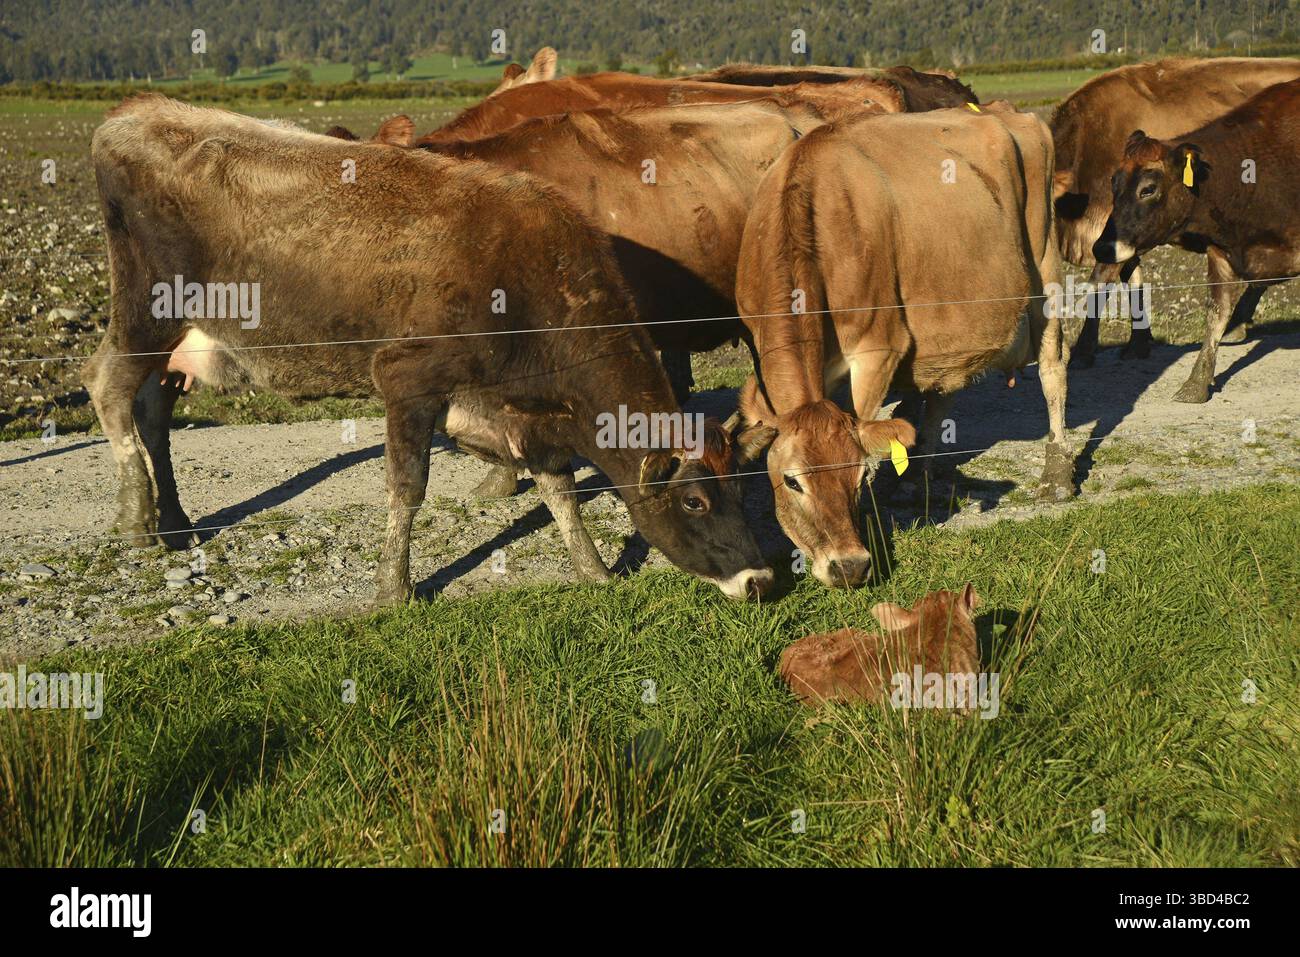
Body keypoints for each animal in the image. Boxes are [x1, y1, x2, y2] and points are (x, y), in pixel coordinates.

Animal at [84, 95, 775, 605]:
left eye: (743, 492)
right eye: (694, 501)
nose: (762, 580)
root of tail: (138, 111)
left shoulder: (516, 408)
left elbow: (557, 487)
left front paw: (593, 570)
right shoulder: (408, 378)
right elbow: (406, 487)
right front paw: (394, 588)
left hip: (174, 344)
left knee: (153, 411)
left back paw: (172, 520)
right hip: (146, 312)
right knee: (107, 387)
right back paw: (138, 519)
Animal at [734, 105, 1071, 588]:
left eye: (859, 475)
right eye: (792, 481)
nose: (850, 566)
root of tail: (1007, 111)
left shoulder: (879, 347)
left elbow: (865, 420)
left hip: (1046, 267)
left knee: (1052, 368)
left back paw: (1058, 473)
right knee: (943, 393)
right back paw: (916, 480)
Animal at [1093, 78, 1300, 404]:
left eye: (1148, 189)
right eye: (1114, 182)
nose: (1102, 247)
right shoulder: (1221, 251)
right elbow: (1217, 312)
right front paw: (1197, 382)